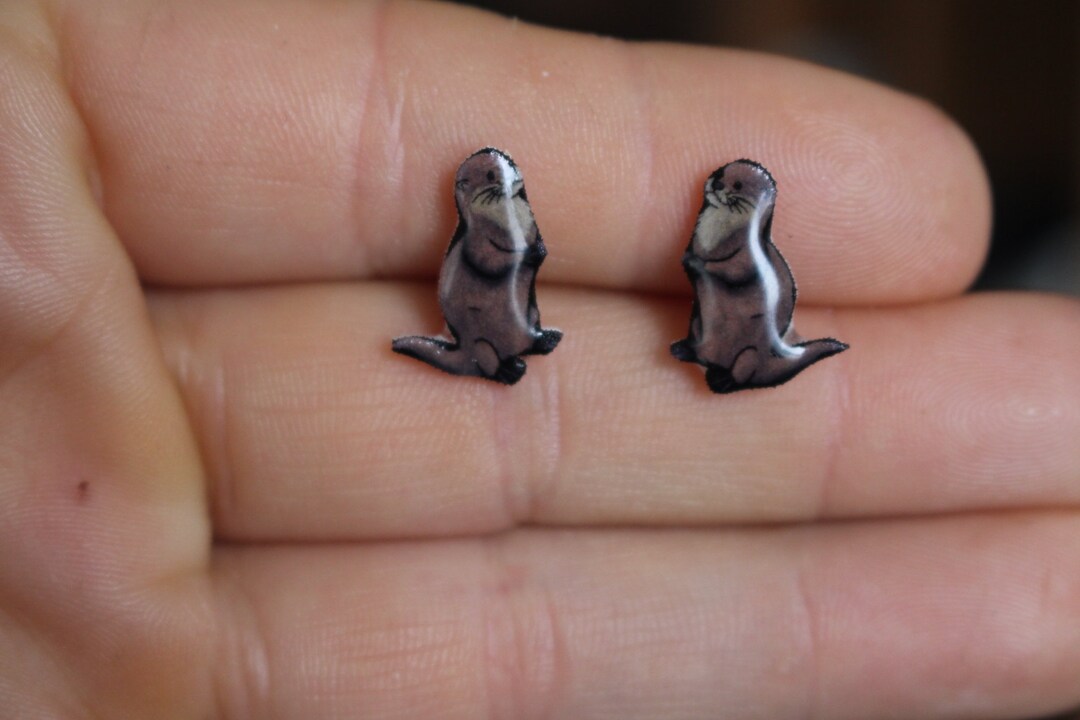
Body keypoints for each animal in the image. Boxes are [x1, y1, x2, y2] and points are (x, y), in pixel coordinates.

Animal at [392, 147, 561, 384]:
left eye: (510, 162)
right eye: (490, 175)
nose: (510, 173)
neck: (513, 222)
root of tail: (463, 349)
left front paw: (540, 249)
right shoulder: (477, 240)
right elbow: (489, 261)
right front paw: (528, 254)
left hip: (533, 314)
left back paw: (547, 339)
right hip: (481, 342)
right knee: (488, 363)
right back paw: (511, 371)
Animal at [670, 160, 847, 393]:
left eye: (737, 184)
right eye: (720, 172)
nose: (717, 183)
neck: (713, 237)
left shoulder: (745, 255)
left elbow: (733, 271)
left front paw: (701, 264)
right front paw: (689, 260)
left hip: (749, 351)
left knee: (743, 373)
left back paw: (722, 381)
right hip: (697, 326)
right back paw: (683, 350)